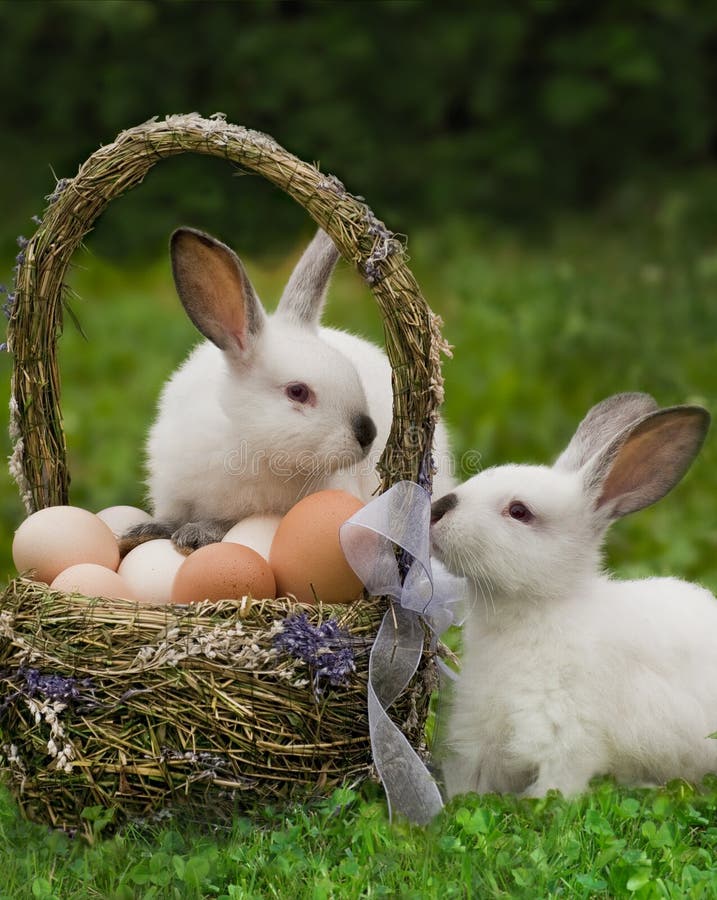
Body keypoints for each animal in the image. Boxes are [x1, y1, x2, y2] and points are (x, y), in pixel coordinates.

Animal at [127, 227, 454, 551]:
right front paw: (148, 530)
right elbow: (173, 516)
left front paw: (199, 532)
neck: (246, 439)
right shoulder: (172, 489)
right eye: (297, 392)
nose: (367, 434)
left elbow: (226, 524)